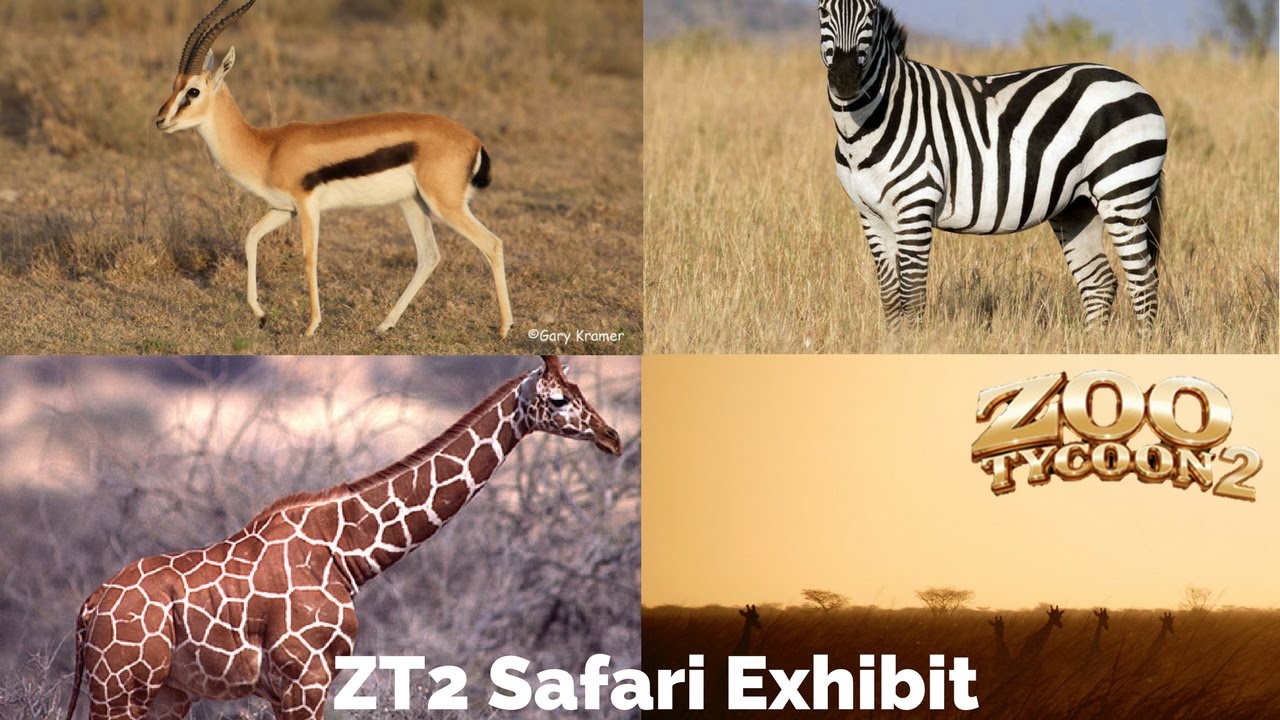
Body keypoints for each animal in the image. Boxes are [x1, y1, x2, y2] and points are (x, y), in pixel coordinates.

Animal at [64, 356, 622, 720]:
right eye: (558, 399)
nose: (612, 437)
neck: (346, 552)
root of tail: (89, 608)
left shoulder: (296, 688)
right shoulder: (305, 680)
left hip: (164, 696)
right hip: (120, 690)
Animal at [819, 0, 1166, 331]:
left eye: (871, 13)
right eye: (823, 11)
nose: (845, 81)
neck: (868, 124)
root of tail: (1135, 84)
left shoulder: (915, 206)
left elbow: (912, 295)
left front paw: (912, 343)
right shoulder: (870, 215)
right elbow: (891, 297)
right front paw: (894, 343)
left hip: (1123, 192)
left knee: (1143, 282)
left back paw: (1142, 345)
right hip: (1077, 206)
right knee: (1099, 282)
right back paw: (1093, 346)